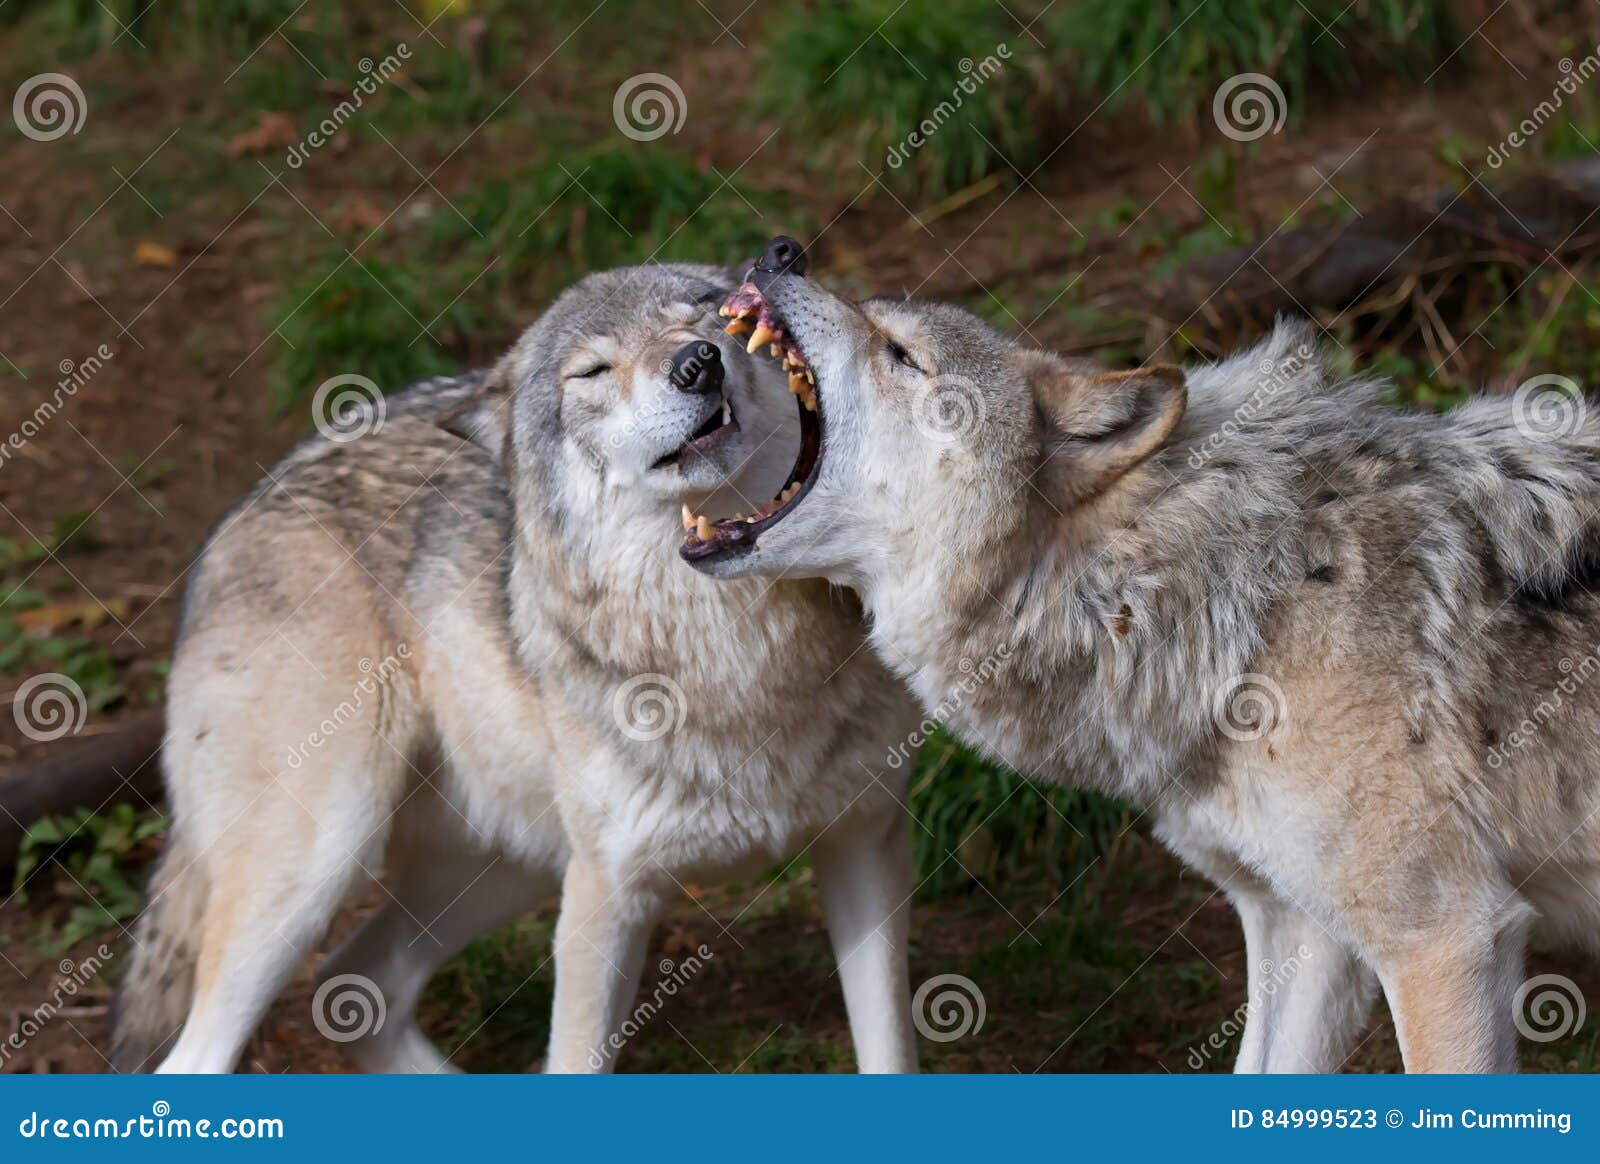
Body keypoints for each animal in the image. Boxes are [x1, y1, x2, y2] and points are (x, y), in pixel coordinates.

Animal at [112, 262, 922, 1074]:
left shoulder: (866, 845)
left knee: (354, 984)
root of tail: (239, 516)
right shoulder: (608, 896)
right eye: (591, 371)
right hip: (316, 864)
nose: (698, 363)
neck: (740, 642)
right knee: (206, 1050)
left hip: (511, 867)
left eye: (708, 315)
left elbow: (891, 1055)